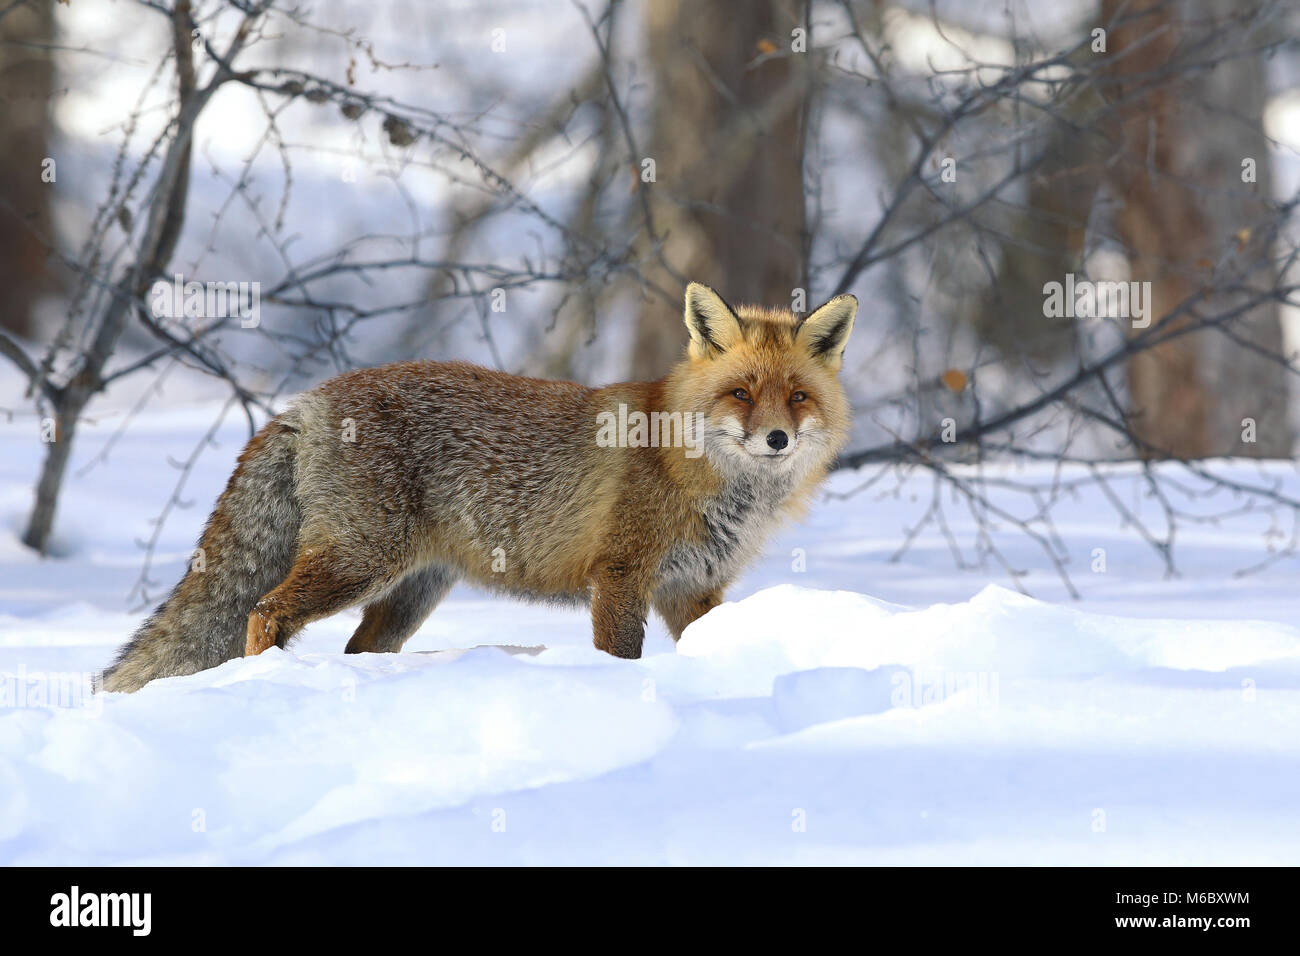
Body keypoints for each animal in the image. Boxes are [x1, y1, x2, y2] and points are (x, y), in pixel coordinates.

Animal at [100, 282, 856, 692]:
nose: (776, 440)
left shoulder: (692, 587)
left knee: (356, 648)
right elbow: (618, 656)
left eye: (796, 397)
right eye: (740, 393)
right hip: (362, 561)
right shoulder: (622, 573)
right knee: (263, 611)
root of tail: (304, 401)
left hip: (412, 591)